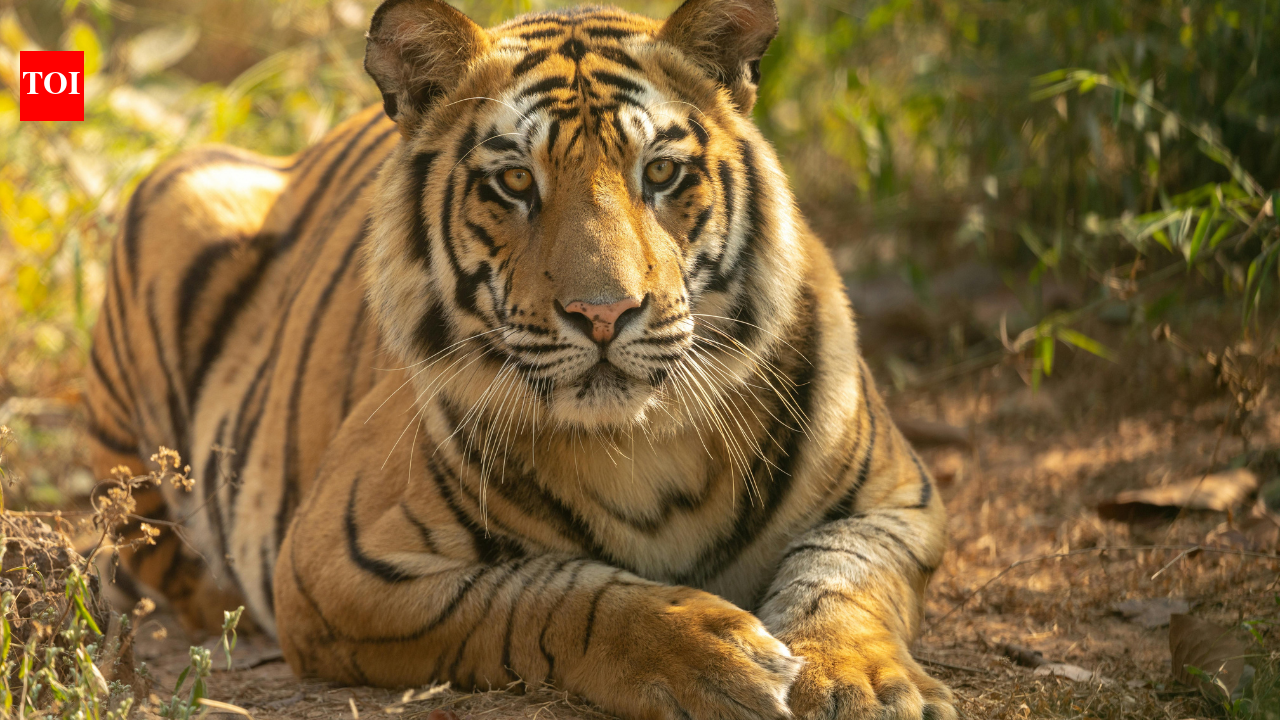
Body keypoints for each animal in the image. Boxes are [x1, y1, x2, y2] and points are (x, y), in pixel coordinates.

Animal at [83, 0, 956, 717]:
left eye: (660, 171)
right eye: (513, 182)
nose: (603, 314)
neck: (639, 442)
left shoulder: (895, 502)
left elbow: (839, 578)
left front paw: (858, 683)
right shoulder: (336, 568)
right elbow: (551, 595)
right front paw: (712, 653)